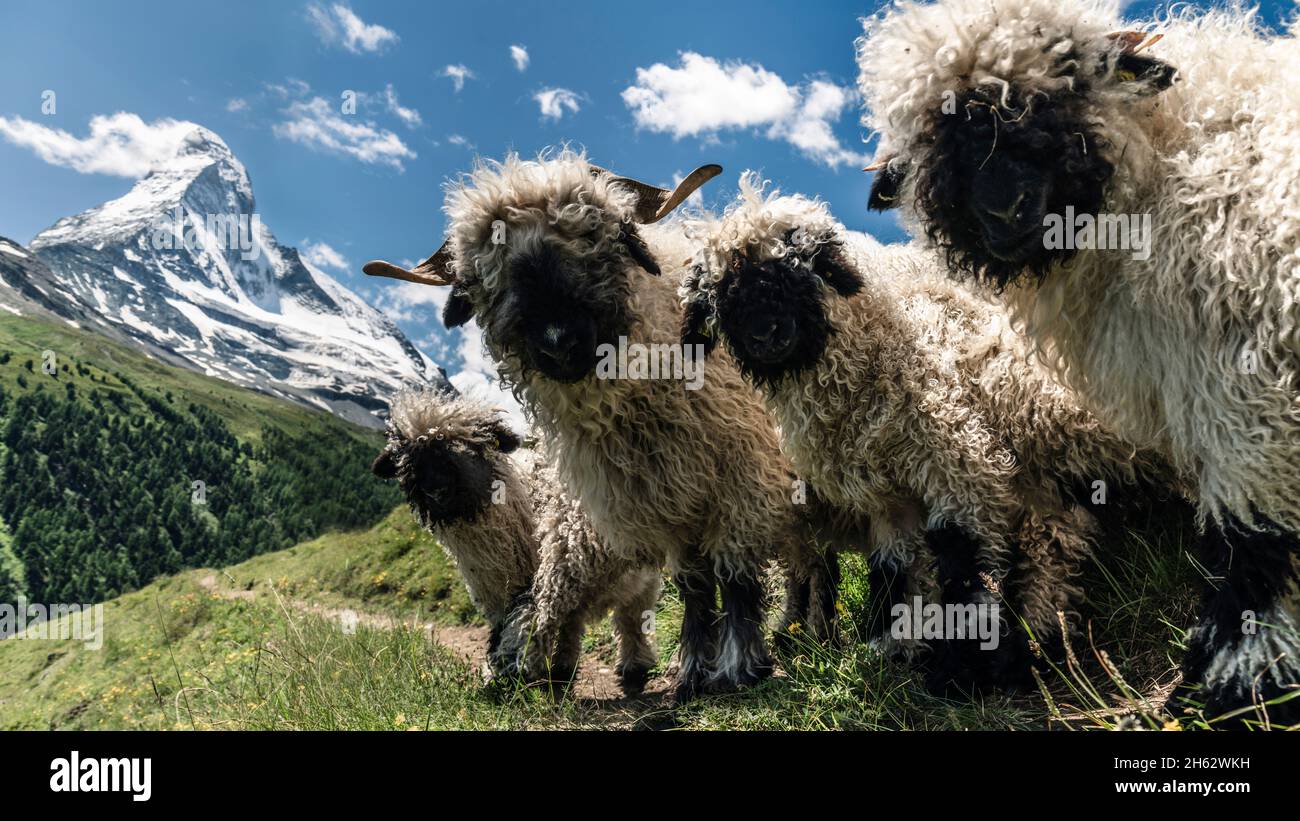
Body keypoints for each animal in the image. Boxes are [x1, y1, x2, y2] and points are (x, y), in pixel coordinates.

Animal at [370, 388, 662, 693]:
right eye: (410, 460)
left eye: (469, 446)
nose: (437, 491)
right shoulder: (497, 593)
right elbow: (512, 626)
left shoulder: (553, 568)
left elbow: (531, 616)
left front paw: (510, 670)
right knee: (578, 622)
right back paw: (564, 669)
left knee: (632, 614)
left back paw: (634, 665)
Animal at [680, 176, 1172, 689]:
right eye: (723, 297)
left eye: (797, 270)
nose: (766, 336)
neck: (881, 345)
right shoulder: (887, 498)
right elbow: (894, 568)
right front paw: (898, 645)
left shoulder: (959, 459)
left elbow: (960, 559)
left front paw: (965, 671)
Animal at [856, 0, 1300, 720]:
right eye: (933, 138)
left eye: (1064, 84)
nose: (1004, 206)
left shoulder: (1242, 380)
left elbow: (1253, 539)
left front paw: (1231, 685)